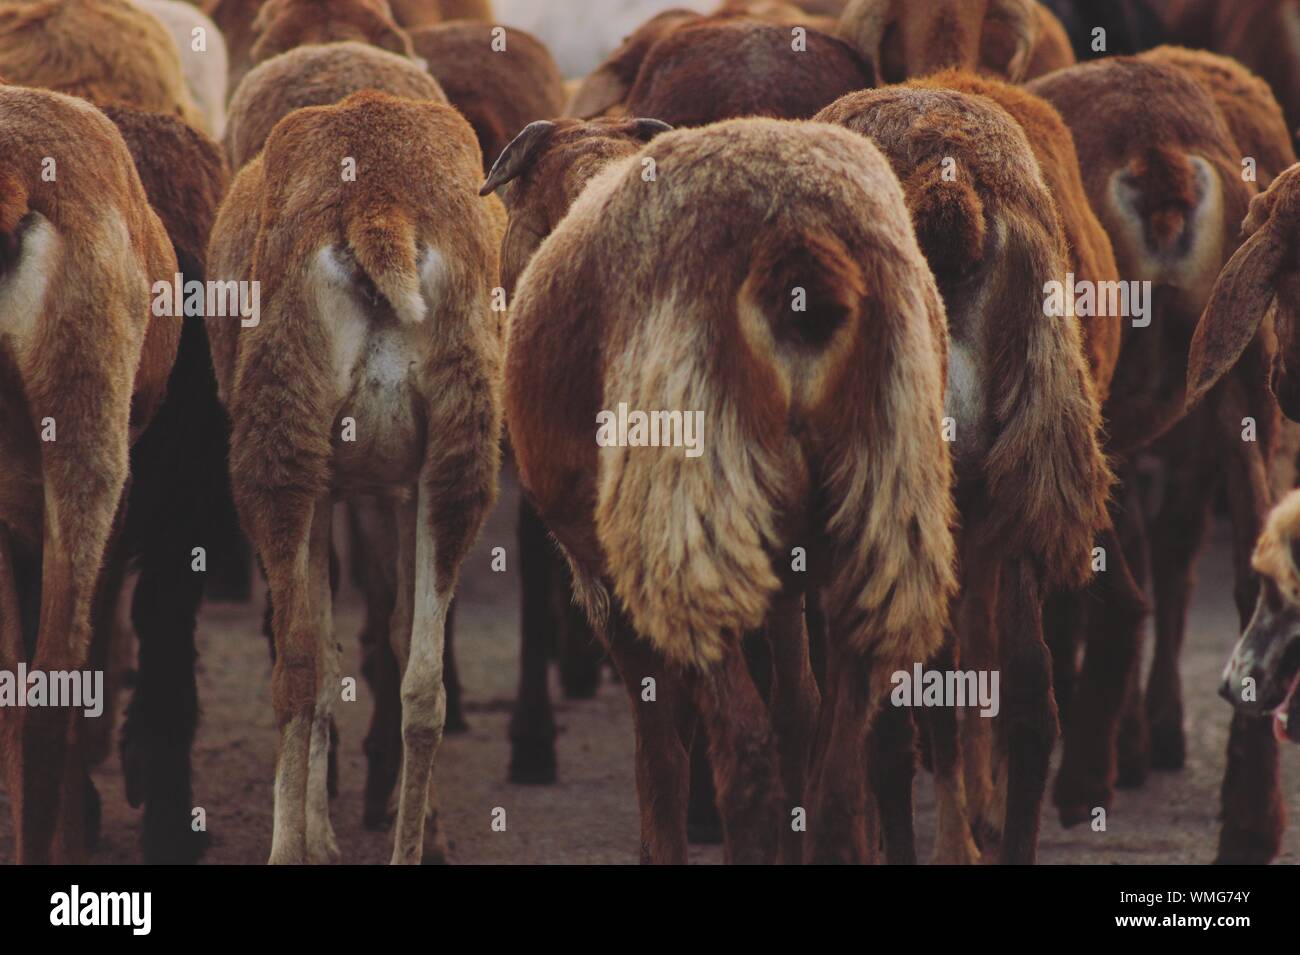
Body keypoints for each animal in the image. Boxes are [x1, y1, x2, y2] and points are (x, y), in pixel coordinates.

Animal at [206, 89, 503, 864]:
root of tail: (381, 204)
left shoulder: (327, 485)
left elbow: (320, 648)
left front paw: (319, 833)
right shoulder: (393, 486)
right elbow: (391, 637)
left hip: (280, 444)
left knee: (295, 668)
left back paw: (288, 847)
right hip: (460, 446)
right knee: (423, 685)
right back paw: (410, 847)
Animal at [506, 116, 957, 863]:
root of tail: (796, 229)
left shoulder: (612, 583)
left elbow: (661, 750)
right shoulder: (783, 576)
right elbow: (798, 708)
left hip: (689, 520)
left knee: (744, 752)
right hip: (881, 515)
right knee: (839, 770)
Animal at [1030, 52, 1289, 864]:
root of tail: (1163, 153)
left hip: (1103, 390)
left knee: (1122, 576)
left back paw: (1087, 772)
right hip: (1247, 375)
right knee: (1245, 571)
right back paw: (1249, 818)